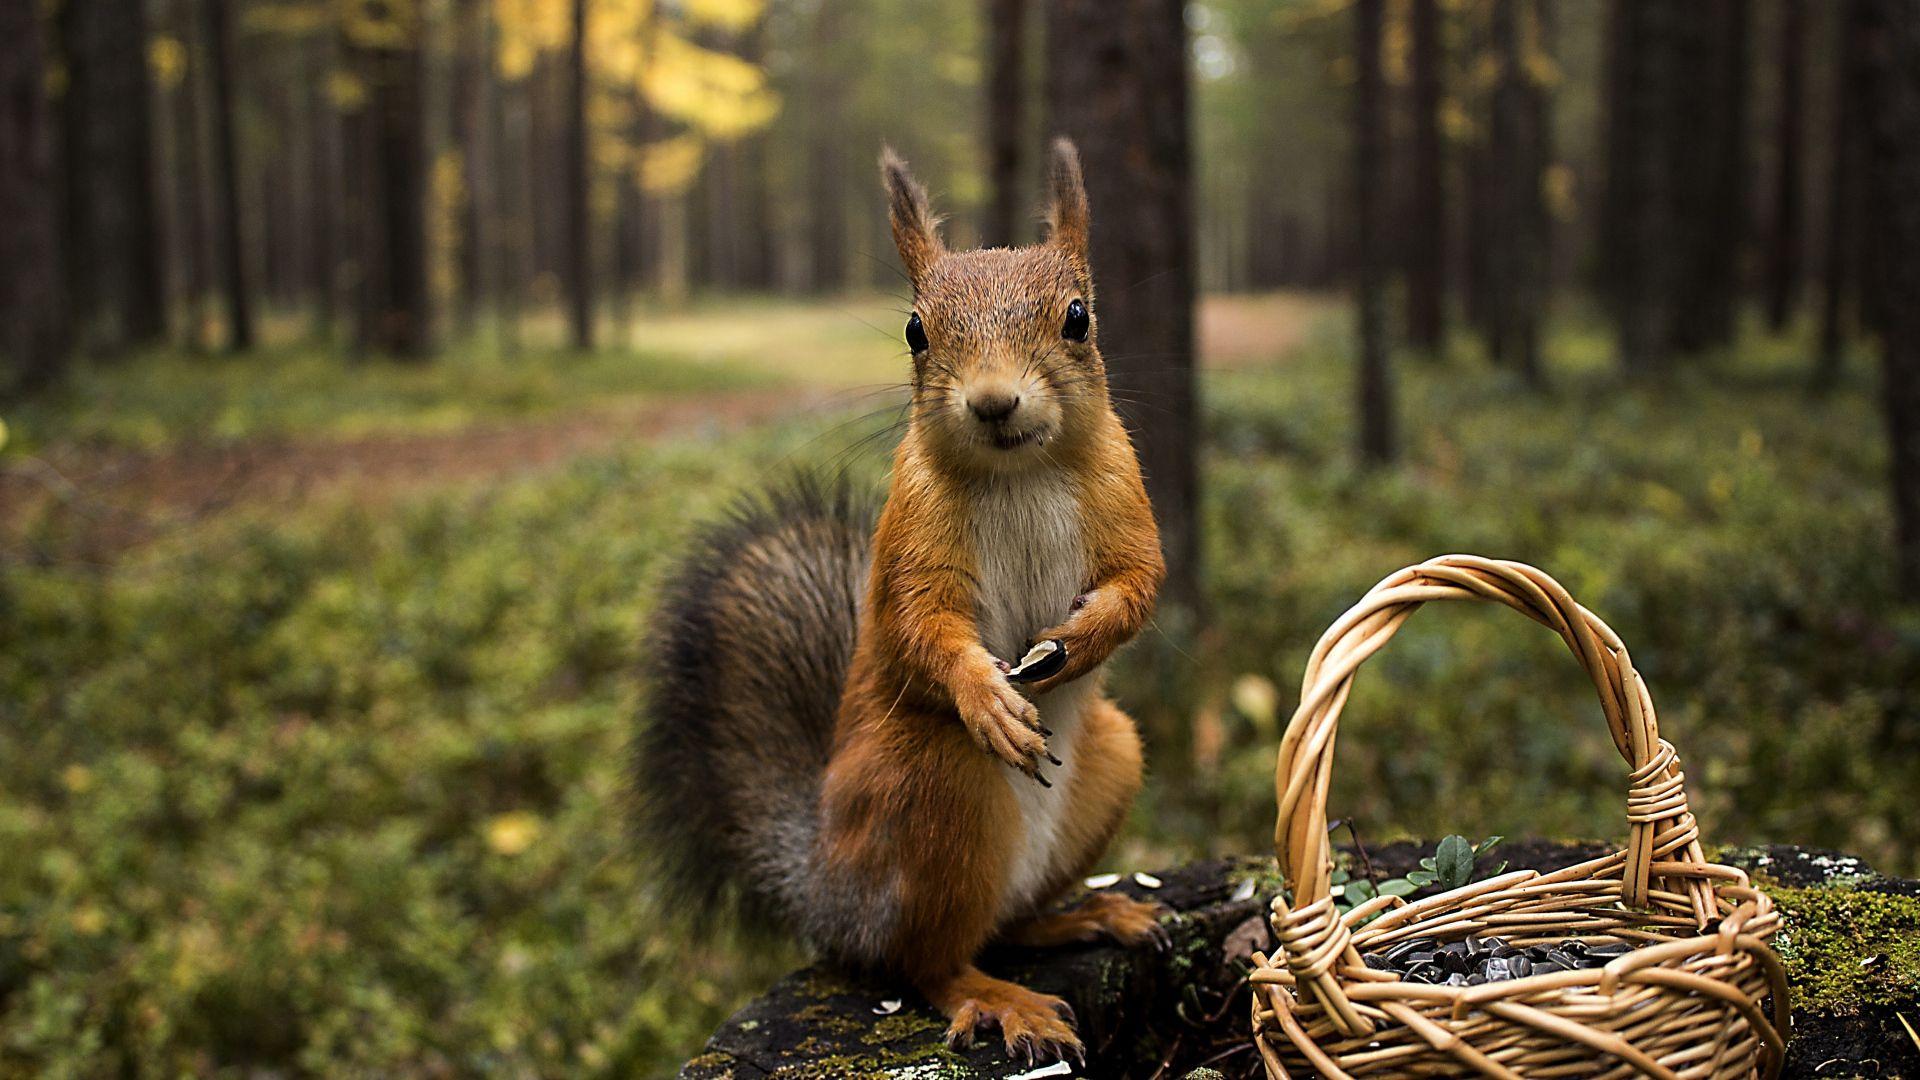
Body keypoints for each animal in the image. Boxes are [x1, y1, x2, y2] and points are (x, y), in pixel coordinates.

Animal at [634, 138, 1166, 1065]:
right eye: (917, 330)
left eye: (1078, 317)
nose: (993, 401)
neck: (1020, 470)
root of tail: (828, 893)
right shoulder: (912, 539)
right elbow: (922, 627)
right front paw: (987, 696)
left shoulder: (1125, 498)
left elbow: (1140, 583)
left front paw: (1083, 639)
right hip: (932, 789)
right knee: (927, 960)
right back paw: (999, 998)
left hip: (1112, 760)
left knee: (1005, 924)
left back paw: (1087, 915)